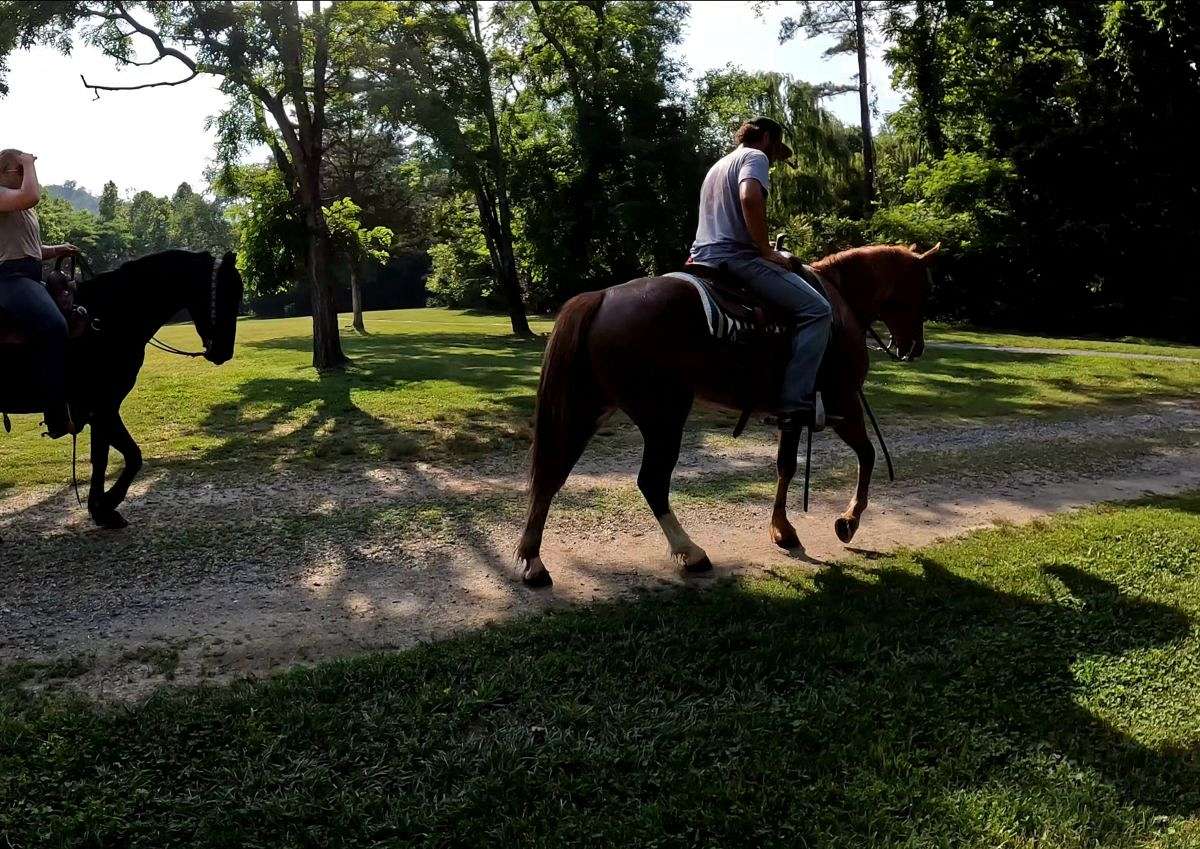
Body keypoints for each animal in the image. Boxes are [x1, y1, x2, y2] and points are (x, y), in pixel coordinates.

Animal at [0, 249, 243, 530]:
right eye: (226, 294)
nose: (224, 352)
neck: (110, 319)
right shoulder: (103, 409)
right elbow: (132, 456)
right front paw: (108, 503)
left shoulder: (100, 412)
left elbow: (101, 458)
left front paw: (99, 508)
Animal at [516, 243, 939, 587]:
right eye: (925, 290)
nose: (914, 347)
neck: (841, 302)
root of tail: (602, 297)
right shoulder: (844, 402)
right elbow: (867, 455)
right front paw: (848, 521)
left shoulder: (794, 412)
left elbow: (786, 466)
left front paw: (783, 530)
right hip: (663, 417)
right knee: (651, 482)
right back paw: (692, 553)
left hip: (588, 409)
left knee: (551, 474)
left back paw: (533, 562)